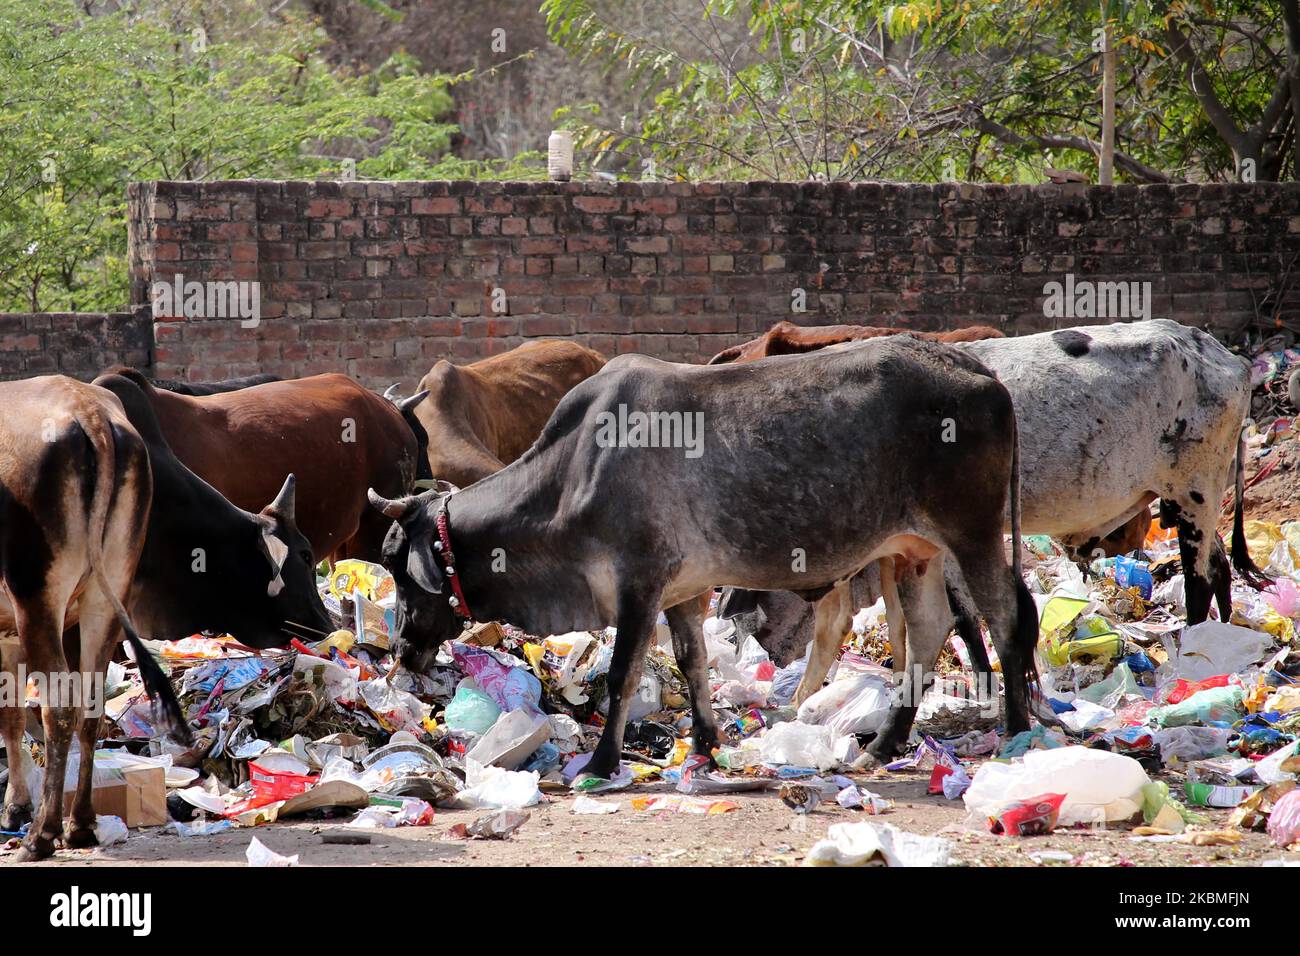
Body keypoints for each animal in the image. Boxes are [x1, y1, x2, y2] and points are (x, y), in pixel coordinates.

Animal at [0, 376, 184, 861]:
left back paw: (41, 836)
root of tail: (90, 413)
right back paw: (79, 823)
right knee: (91, 703)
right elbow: (10, 712)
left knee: (60, 708)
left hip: (39, 596)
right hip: (108, 590)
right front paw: (15, 805)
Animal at [780, 320, 1266, 706]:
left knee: (1199, 582)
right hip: (1188, 498)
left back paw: (1194, 656)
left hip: (1194, 490)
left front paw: (983, 687)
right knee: (1220, 568)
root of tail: (1225, 355)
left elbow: (964, 619)